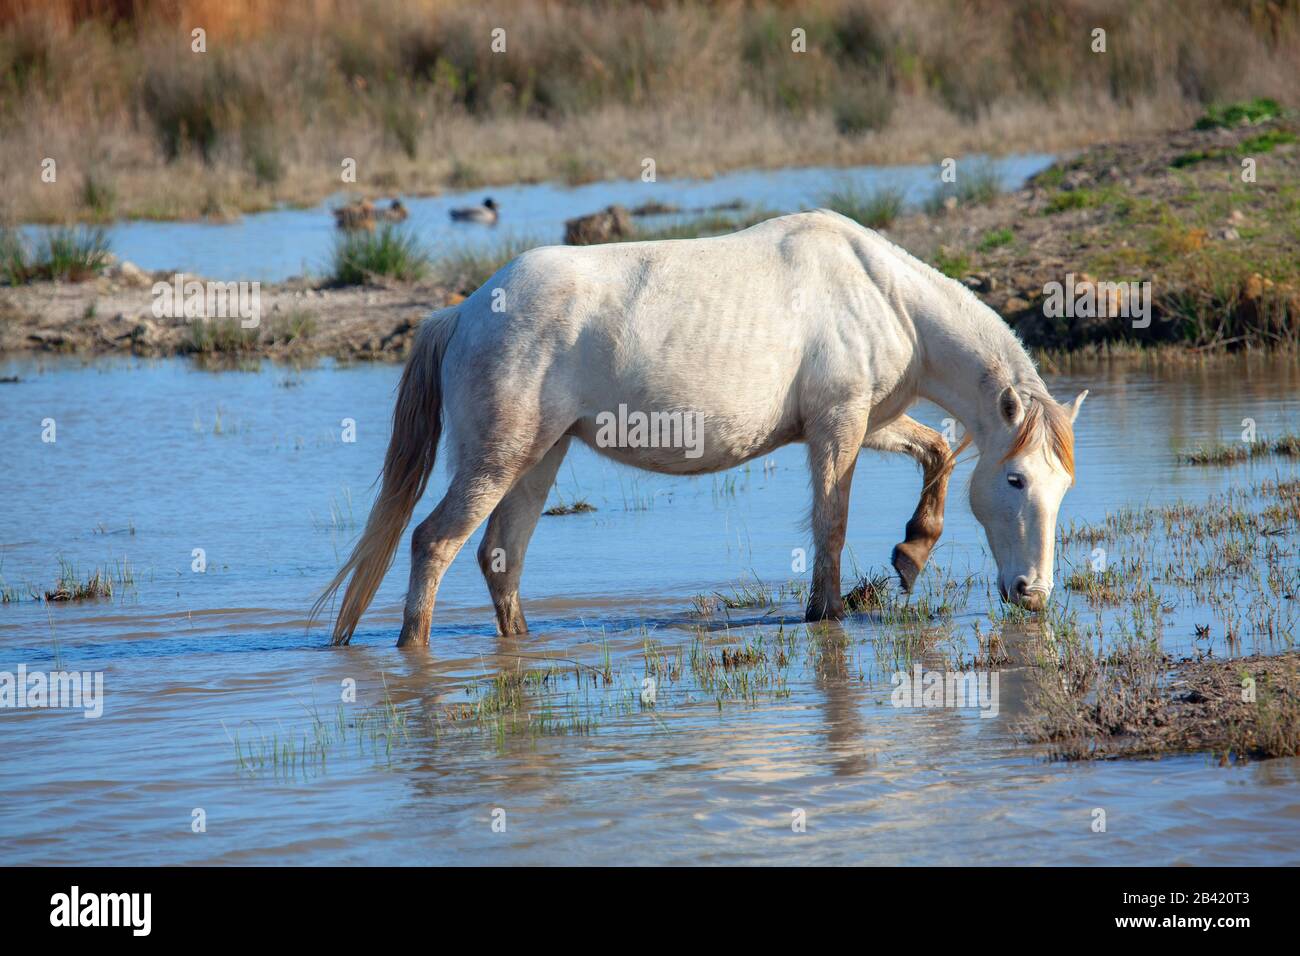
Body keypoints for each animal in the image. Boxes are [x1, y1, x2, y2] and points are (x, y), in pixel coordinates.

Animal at [313, 210, 1087, 646]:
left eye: (1061, 489)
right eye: (1016, 480)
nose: (1032, 593)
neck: (882, 293)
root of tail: (466, 310)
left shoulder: (864, 419)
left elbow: (937, 451)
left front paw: (912, 552)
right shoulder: (838, 424)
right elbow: (831, 526)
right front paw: (828, 614)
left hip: (540, 455)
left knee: (501, 557)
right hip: (497, 459)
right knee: (434, 543)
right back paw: (414, 648)